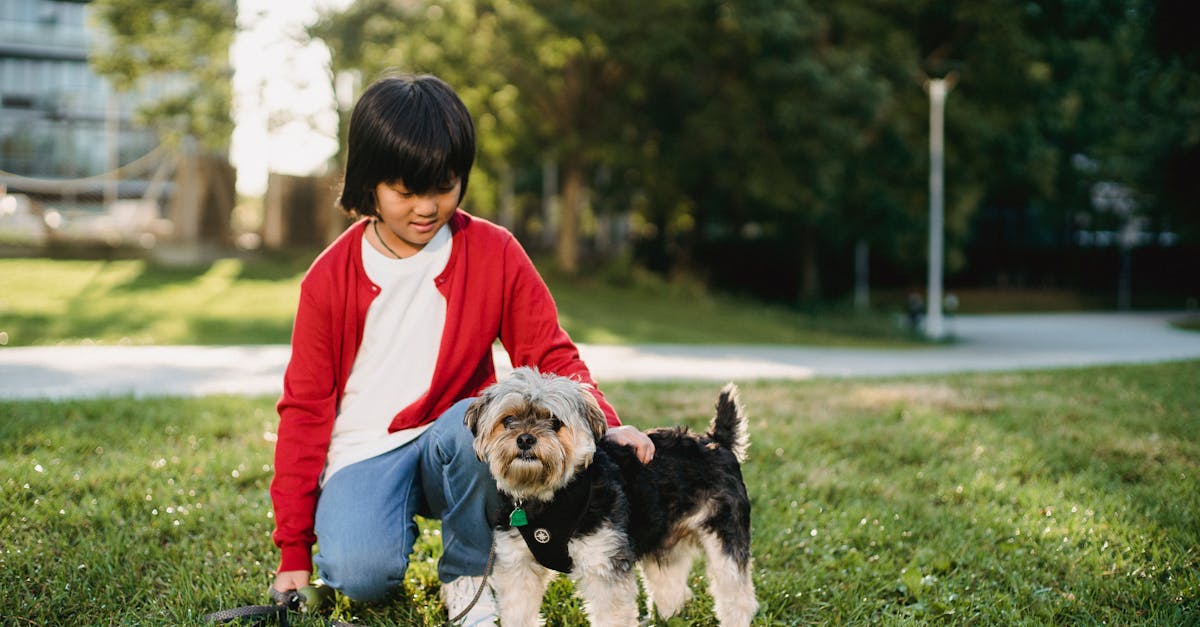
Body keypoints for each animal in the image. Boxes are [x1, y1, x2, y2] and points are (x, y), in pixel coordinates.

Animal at [463, 365, 753, 624]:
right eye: (508, 421)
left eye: (555, 422)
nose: (524, 439)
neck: (548, 498)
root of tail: (717, 440)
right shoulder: (518, 568)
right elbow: (518, 612)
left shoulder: (604, 567)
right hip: (665, 544)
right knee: (670, 588)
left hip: (726, 536)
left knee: (737, 597)